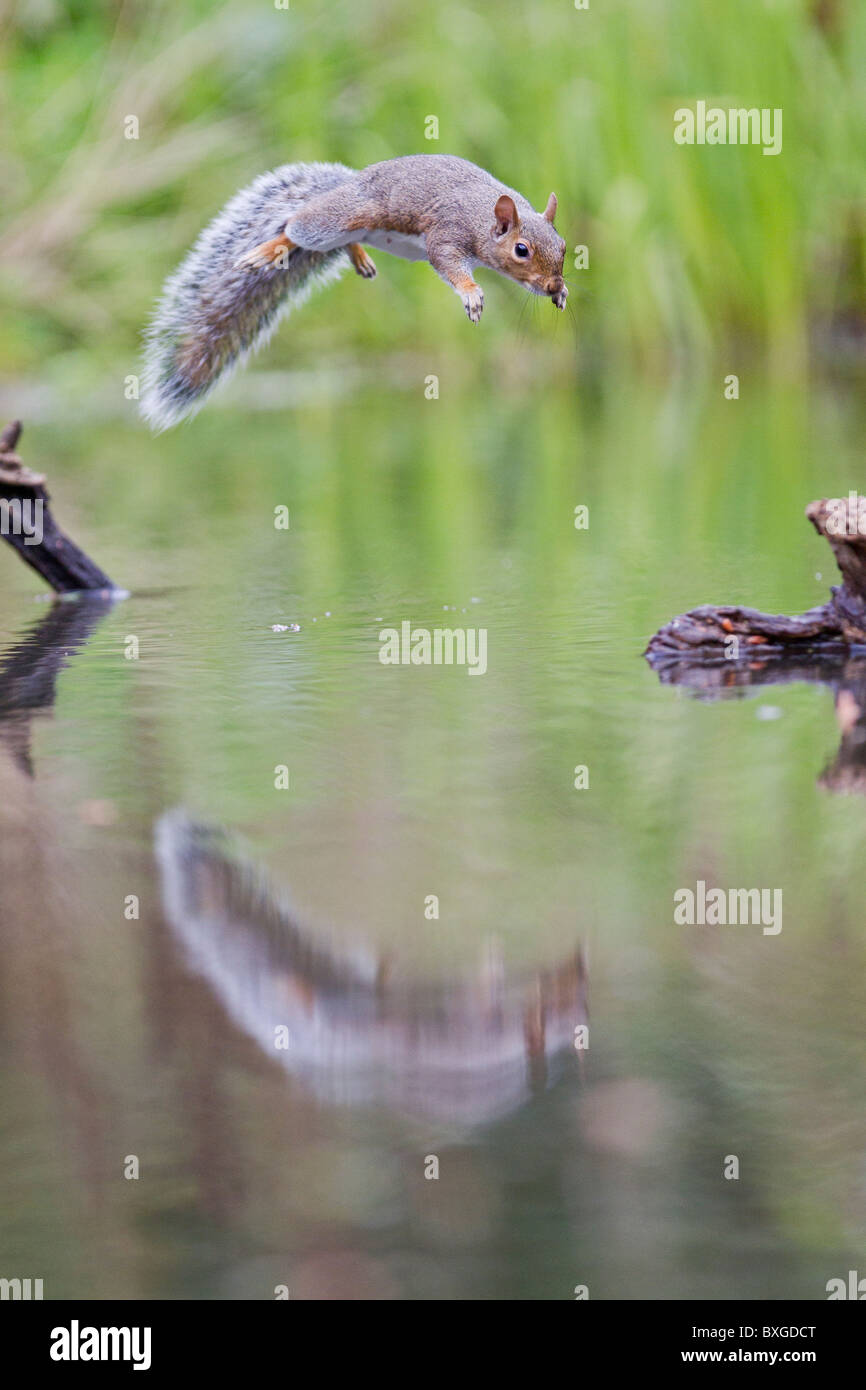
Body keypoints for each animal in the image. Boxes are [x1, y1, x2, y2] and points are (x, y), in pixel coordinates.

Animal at [140, 154, 567, 430]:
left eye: (564, 247)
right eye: (521, 250)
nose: (552, 285)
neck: (482, 217)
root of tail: (347, 184)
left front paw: (563, 294)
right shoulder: (447, 234)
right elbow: (450, 265)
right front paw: (471, 293)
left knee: (343, 242)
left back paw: (358, 256)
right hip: (338, 218)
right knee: (295, 223)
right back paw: (270, 249)